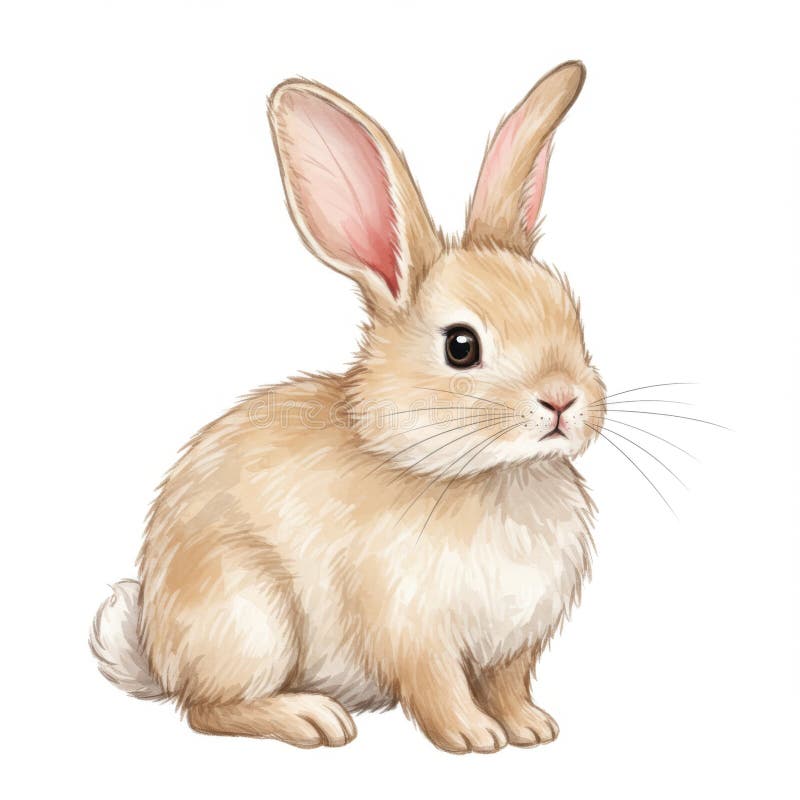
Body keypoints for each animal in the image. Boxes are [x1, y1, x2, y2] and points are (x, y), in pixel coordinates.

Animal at [90, 60, 606, 753]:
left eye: (573, 316)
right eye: (461, 346)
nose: (562, 399)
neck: (486, 475)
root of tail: (156, 651)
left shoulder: (515, 644)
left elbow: (507, 683)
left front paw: (531, 728)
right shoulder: (409, 628)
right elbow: (438, 688)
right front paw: (474, 738)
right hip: (251, 616)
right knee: (206, 709)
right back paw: (311, 718)